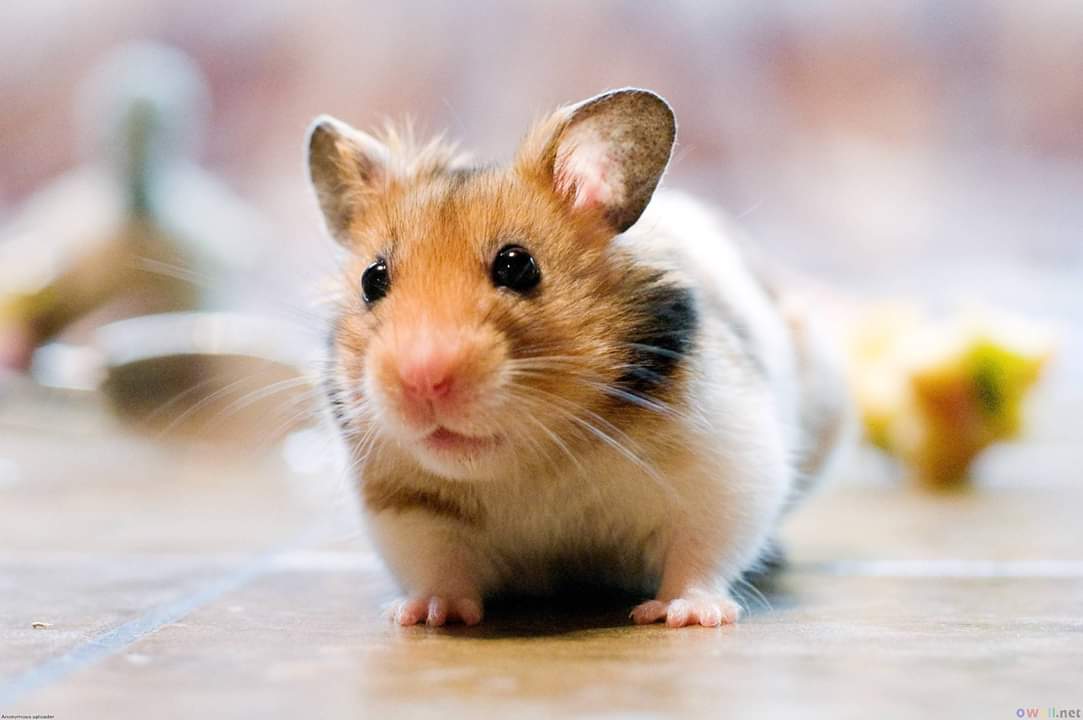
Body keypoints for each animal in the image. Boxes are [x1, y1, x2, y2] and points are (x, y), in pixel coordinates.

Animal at [306, 88, 849, 628]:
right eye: (372, 279)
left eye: (517, 266)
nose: (422, 381)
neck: (535, 461)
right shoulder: (404, 509)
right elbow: (437, 564)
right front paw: (424, 616)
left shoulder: (727, 470)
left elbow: (700, 553)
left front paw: (685, 616)